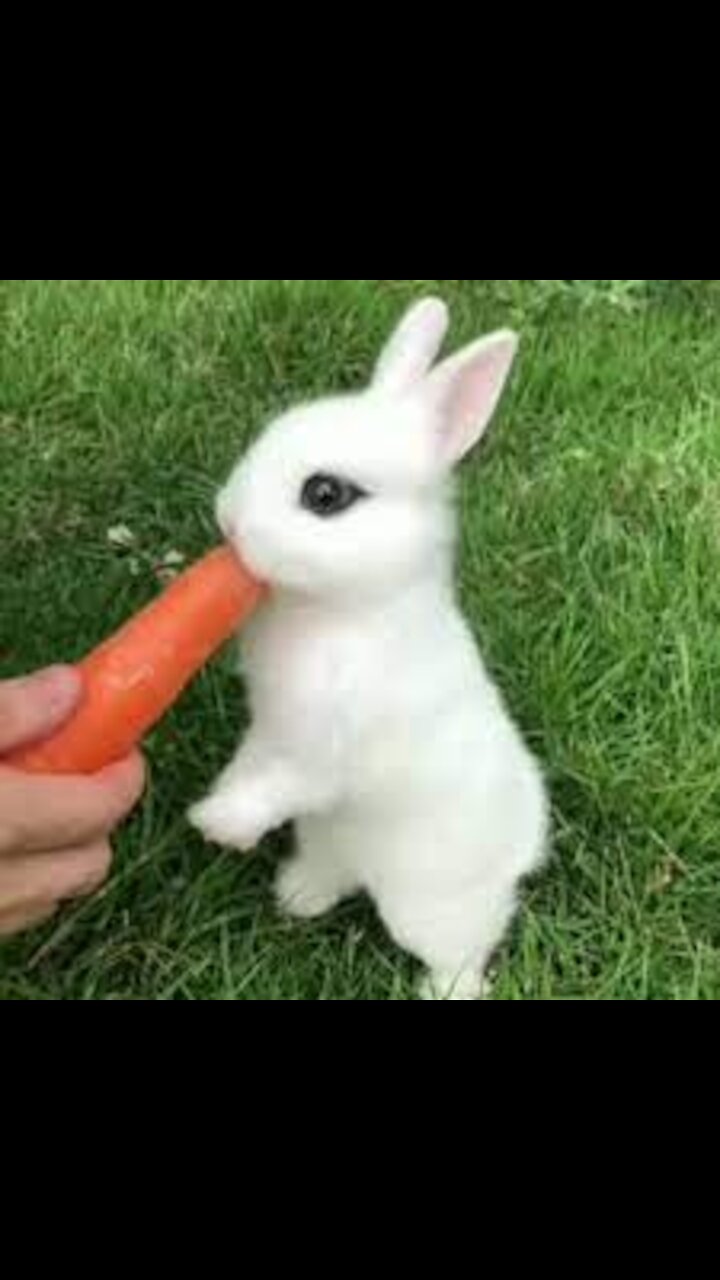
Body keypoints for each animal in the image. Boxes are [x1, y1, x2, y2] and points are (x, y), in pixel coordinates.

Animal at [189, 298, 549, 1000]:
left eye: (325, 495)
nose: (229, 520)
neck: (349, 611)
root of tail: (519, 847)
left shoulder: (326, 755)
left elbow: (278, 786)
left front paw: (217, 824)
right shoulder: (269, 731)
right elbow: (250, 768)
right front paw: (219, 805)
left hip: (429, 908)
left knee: (465, 950)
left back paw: (443, 990)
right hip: (331, 842)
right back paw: (296, 897)